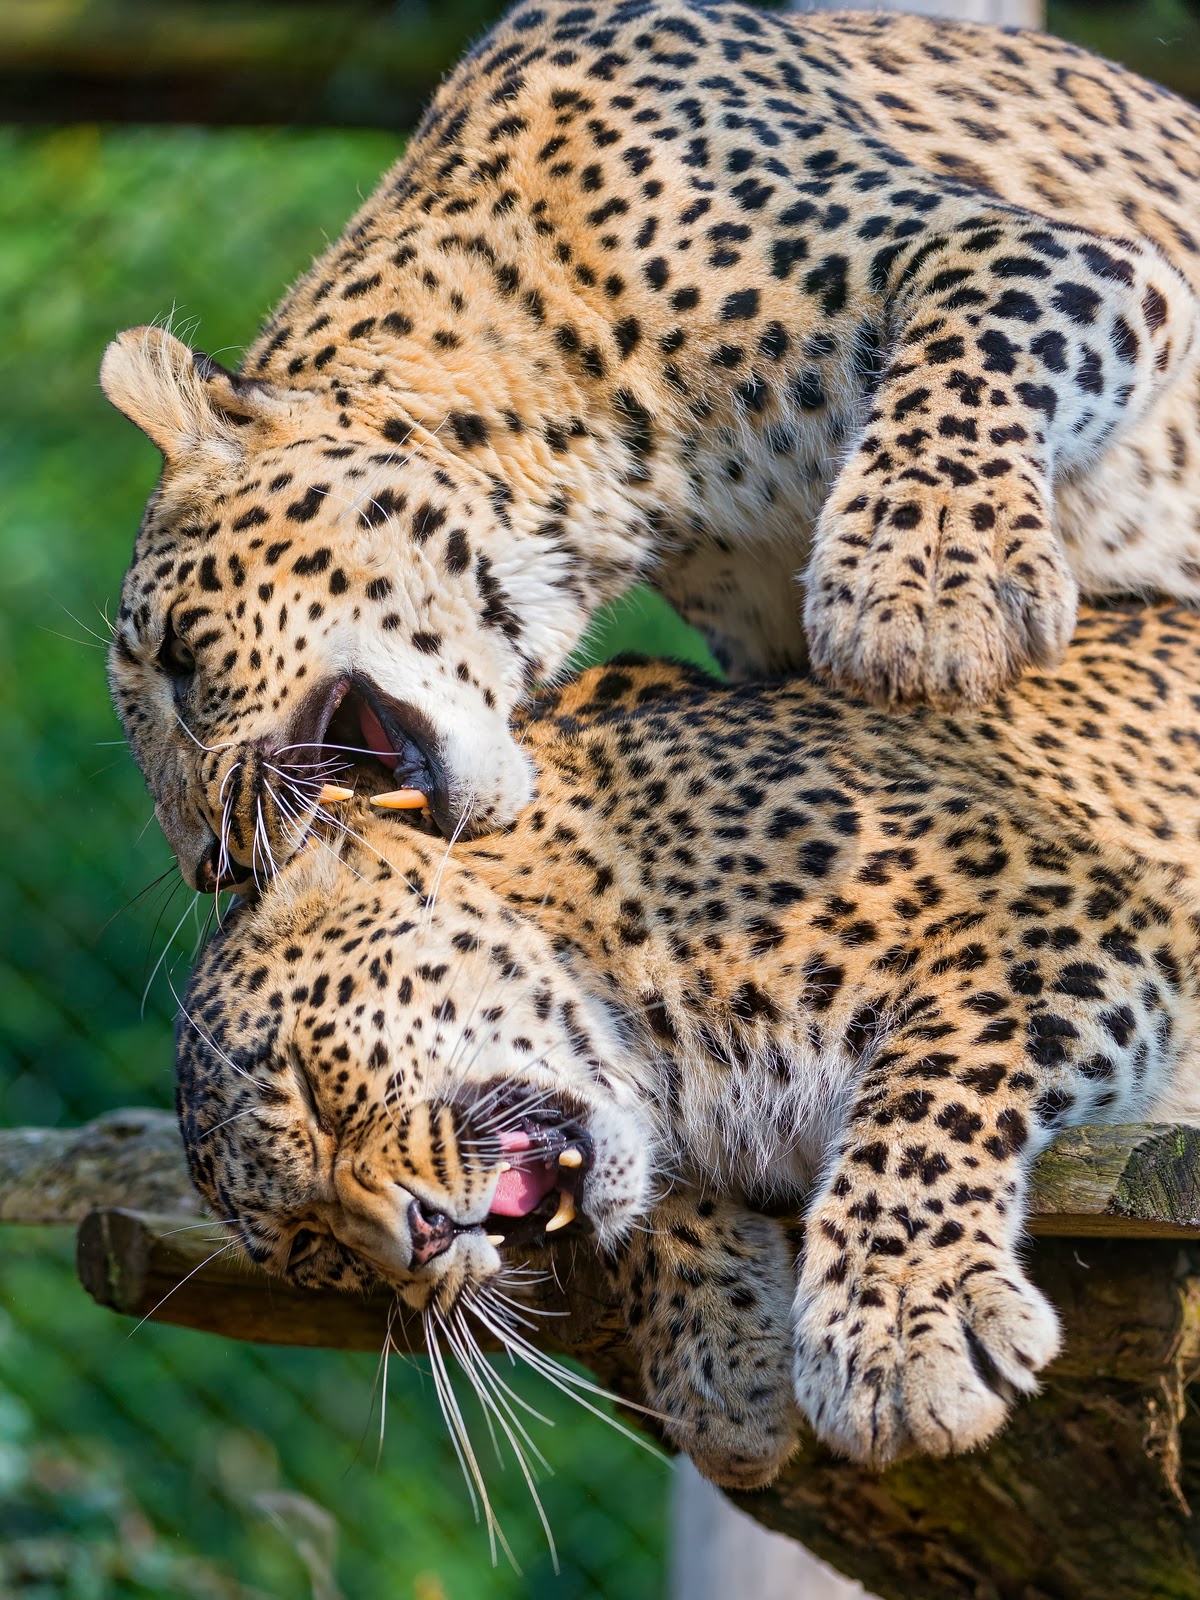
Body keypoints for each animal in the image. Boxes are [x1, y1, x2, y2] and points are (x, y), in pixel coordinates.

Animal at [176, 600, 1200, 1490]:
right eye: (312, 1250)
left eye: (313, 1091)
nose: (419, 1242)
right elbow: (648, 1209)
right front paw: (722, 1362)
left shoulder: (1050, 906)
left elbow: (927, 1091)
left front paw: (901, 1326)